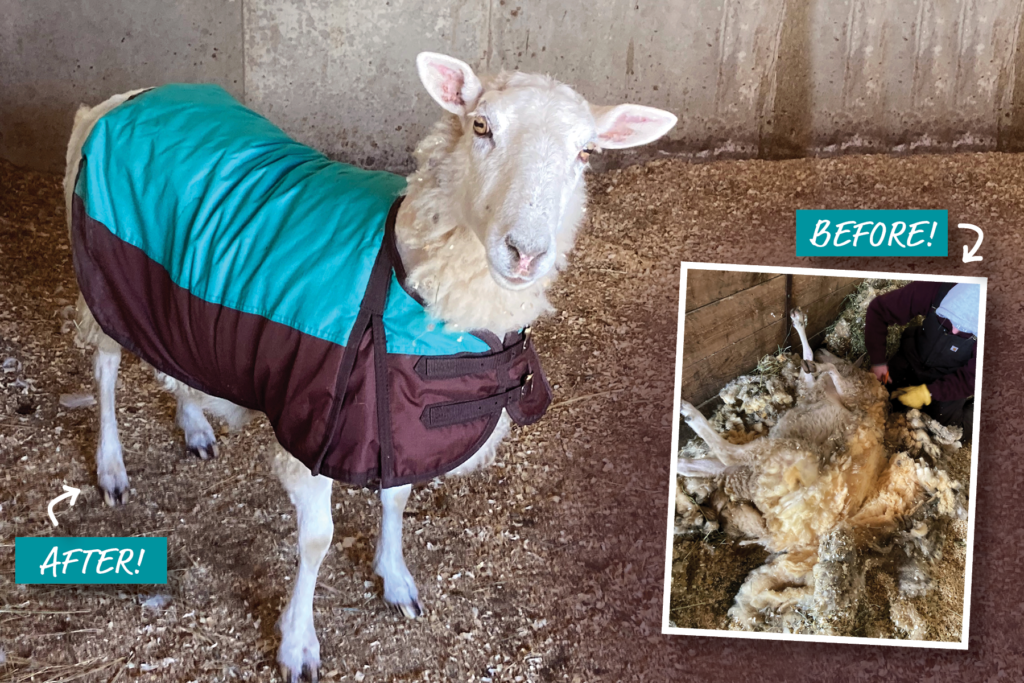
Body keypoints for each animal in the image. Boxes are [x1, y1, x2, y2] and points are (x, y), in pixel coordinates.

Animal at [64, 53, 677, 680]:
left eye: (585, 153)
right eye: (481, 126)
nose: (526, 252)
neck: (410, 281)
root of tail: (134, 95)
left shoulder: (398, 418)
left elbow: (396, 499)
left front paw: (396, 578)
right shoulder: (313, 424)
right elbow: (317, 540)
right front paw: (298, 643)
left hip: (177, 289)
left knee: (174, 359)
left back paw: (193, 425)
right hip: (104, 271)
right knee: (106, 369)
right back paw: (111, 468)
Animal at [677, 309, 966, 635]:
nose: (827, 347)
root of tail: (778, 533)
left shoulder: (845, 390)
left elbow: (821, 370)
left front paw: (811, 348)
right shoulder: (819, 389)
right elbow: (811, 368)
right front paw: (804, 334)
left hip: (779, 454)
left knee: (727, 453)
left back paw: (690, 414)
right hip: (761, 464)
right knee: (715, 464)